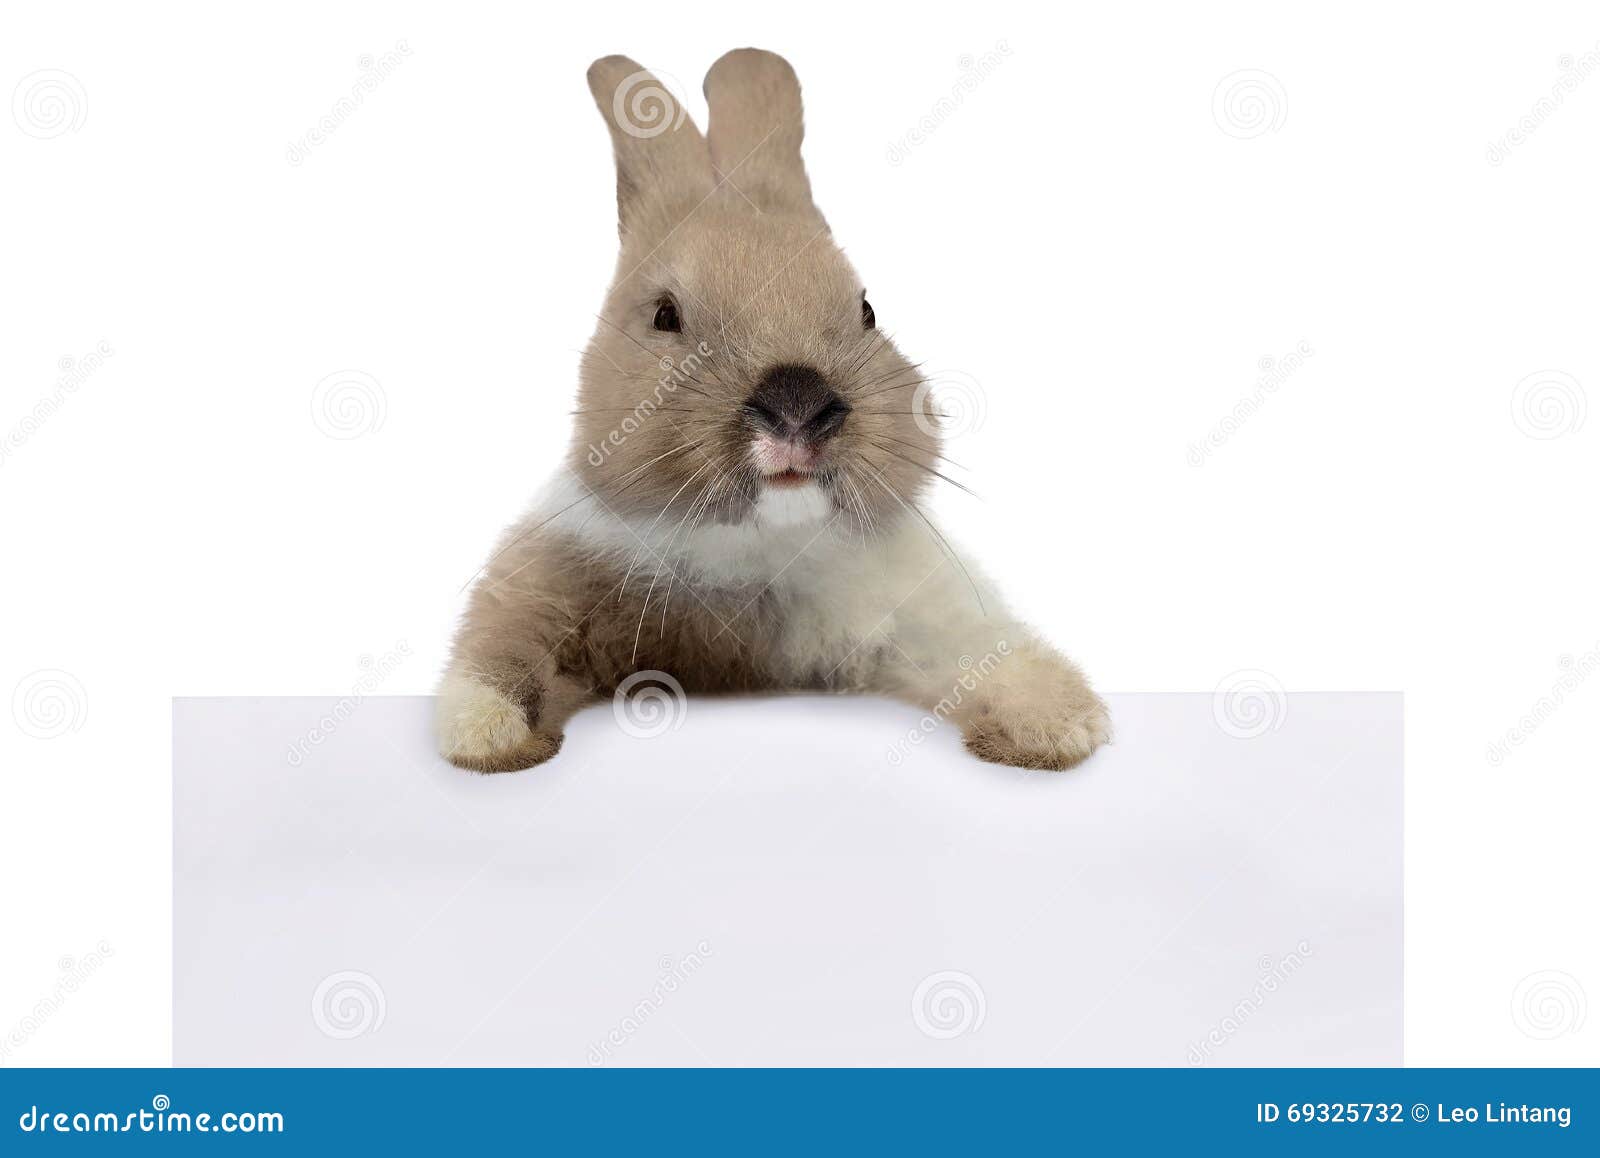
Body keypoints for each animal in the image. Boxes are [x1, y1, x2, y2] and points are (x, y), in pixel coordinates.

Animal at [436, 48, 1110, 773]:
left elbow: (986, 655)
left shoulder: (927, 614)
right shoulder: (535, 583)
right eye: (664, 316)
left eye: (868, 311)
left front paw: (1061, 726)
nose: (798, 406)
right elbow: (501, 653)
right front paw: (487, 735)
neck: (757, 548)